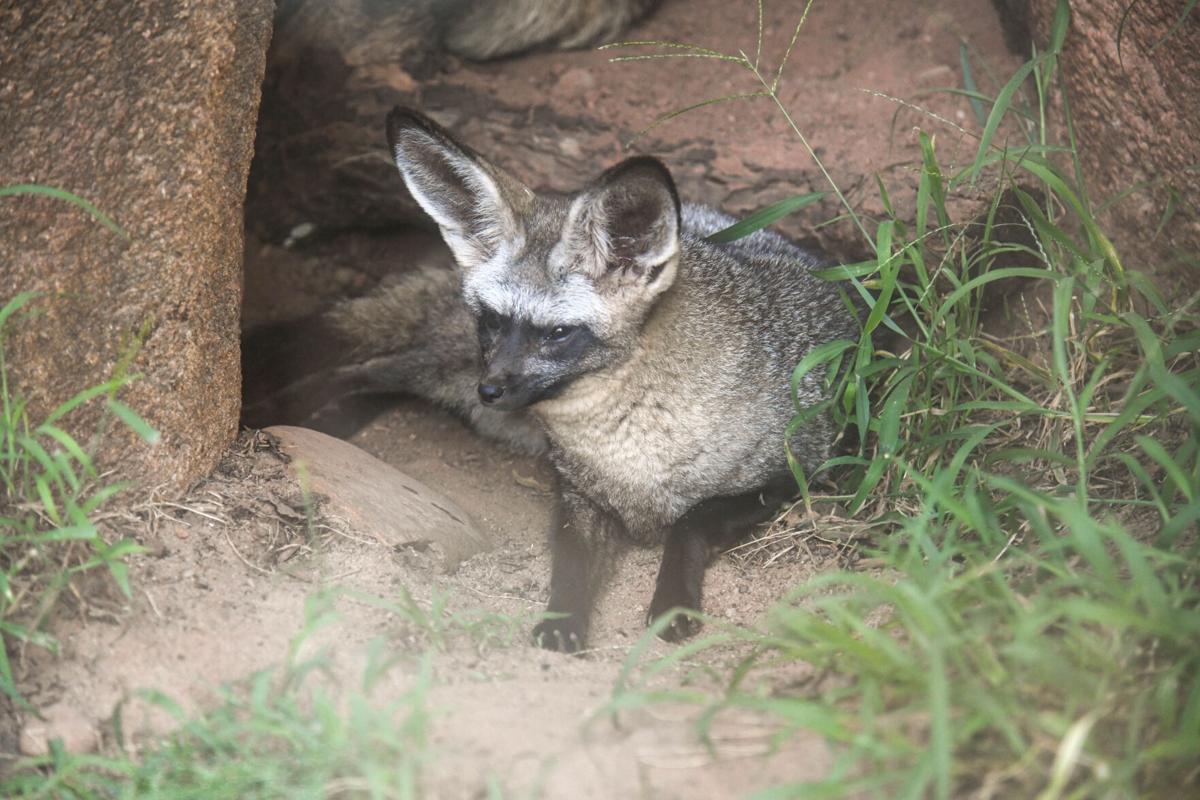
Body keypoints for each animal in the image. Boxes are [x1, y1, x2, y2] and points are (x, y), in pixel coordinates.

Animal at [243, 107, 860, 651]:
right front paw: (563, 621)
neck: (631, 444)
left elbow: (691, 523)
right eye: (493, 321)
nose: (491, 389)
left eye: (558, 334)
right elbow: (569, 566)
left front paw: (672, 602)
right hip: (447, 364)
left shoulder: (791, 476)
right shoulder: (576, 494)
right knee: (357, 368)